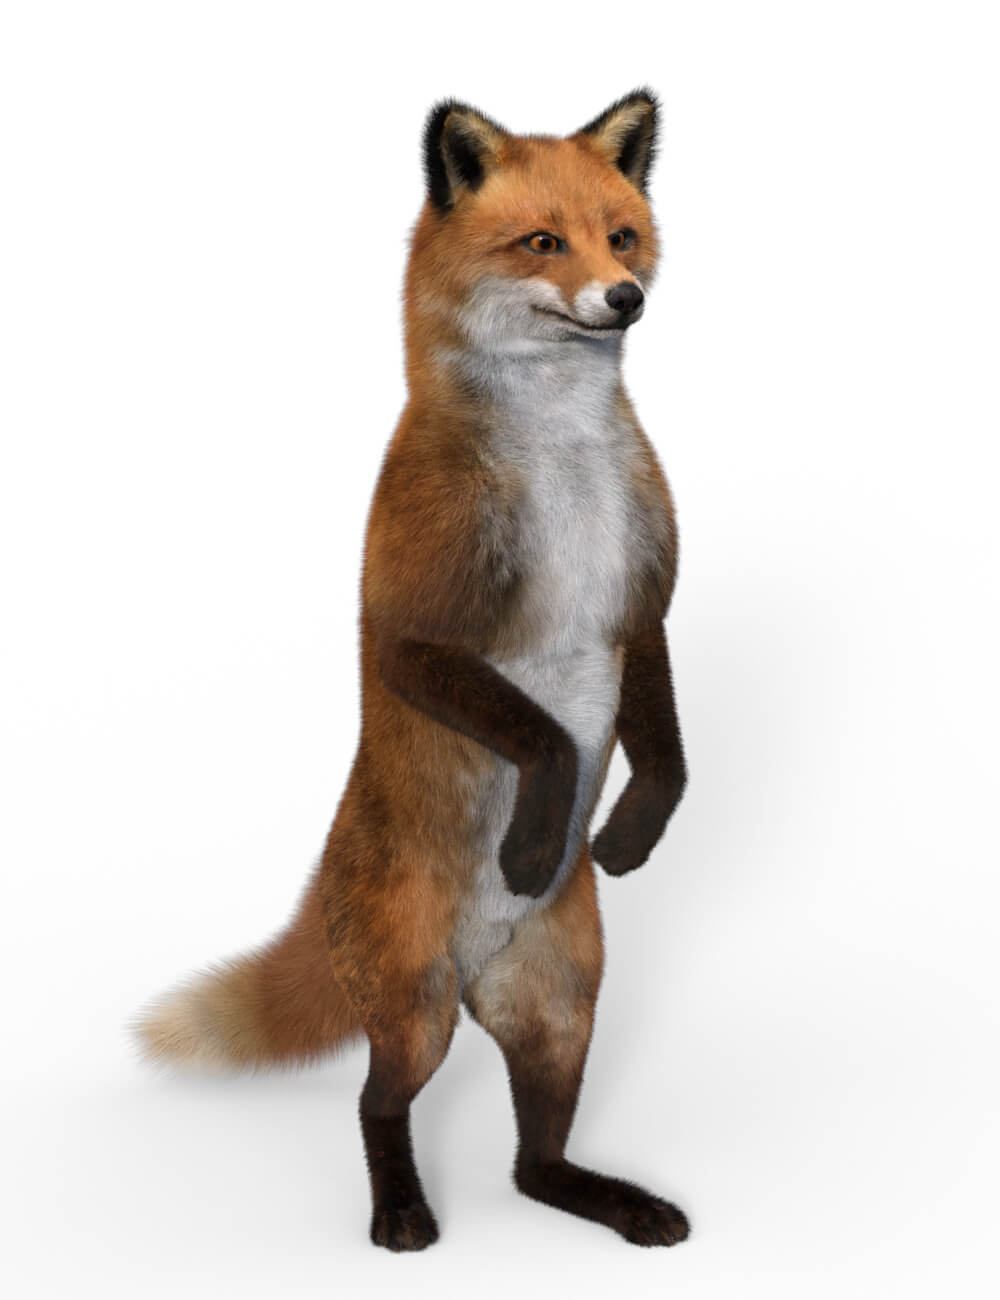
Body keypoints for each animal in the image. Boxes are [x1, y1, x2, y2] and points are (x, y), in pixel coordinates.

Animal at [135, 89, 690, 1253]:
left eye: (621, 236)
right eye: (542, 242)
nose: (623, 298)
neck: (564, 468)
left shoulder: (643, 604)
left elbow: (667, 751)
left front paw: (623, 836)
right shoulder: (413, 628)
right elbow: (542, 735)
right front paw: (534, 843)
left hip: (561, 1007)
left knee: (531, 1163)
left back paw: (607, 1198)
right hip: (415, 1011)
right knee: (374, 1102)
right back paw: (399, 1210)